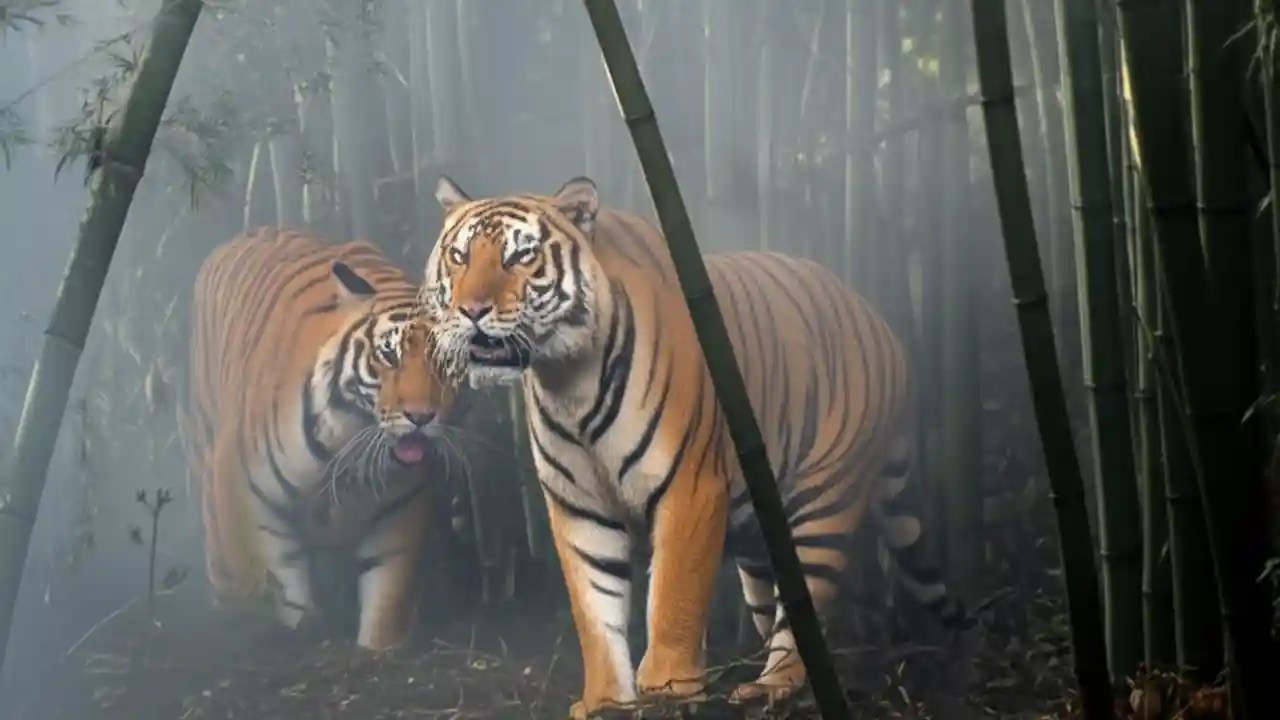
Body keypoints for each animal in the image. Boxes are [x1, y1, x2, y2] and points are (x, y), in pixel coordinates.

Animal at [183, 227, 460, 652]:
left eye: (444, 362)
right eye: (389, 354)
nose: (421, 417)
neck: (350, 438)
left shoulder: (400, 510)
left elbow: (387, 598)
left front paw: (377, 649)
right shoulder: (241, 492)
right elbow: (272, 586)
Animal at [418, 175, 970, 717]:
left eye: (520, 256)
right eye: (460, 256)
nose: (471, 311)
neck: (565, 378)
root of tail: (882, 325)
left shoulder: (689, 486)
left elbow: (673, 594)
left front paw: (668, 687)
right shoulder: (578, 506)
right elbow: (594, 607)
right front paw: (606, 700)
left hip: (824, 501)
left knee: (805, 612)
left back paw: (771, 687)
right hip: (758, 541)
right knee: (771, 604)